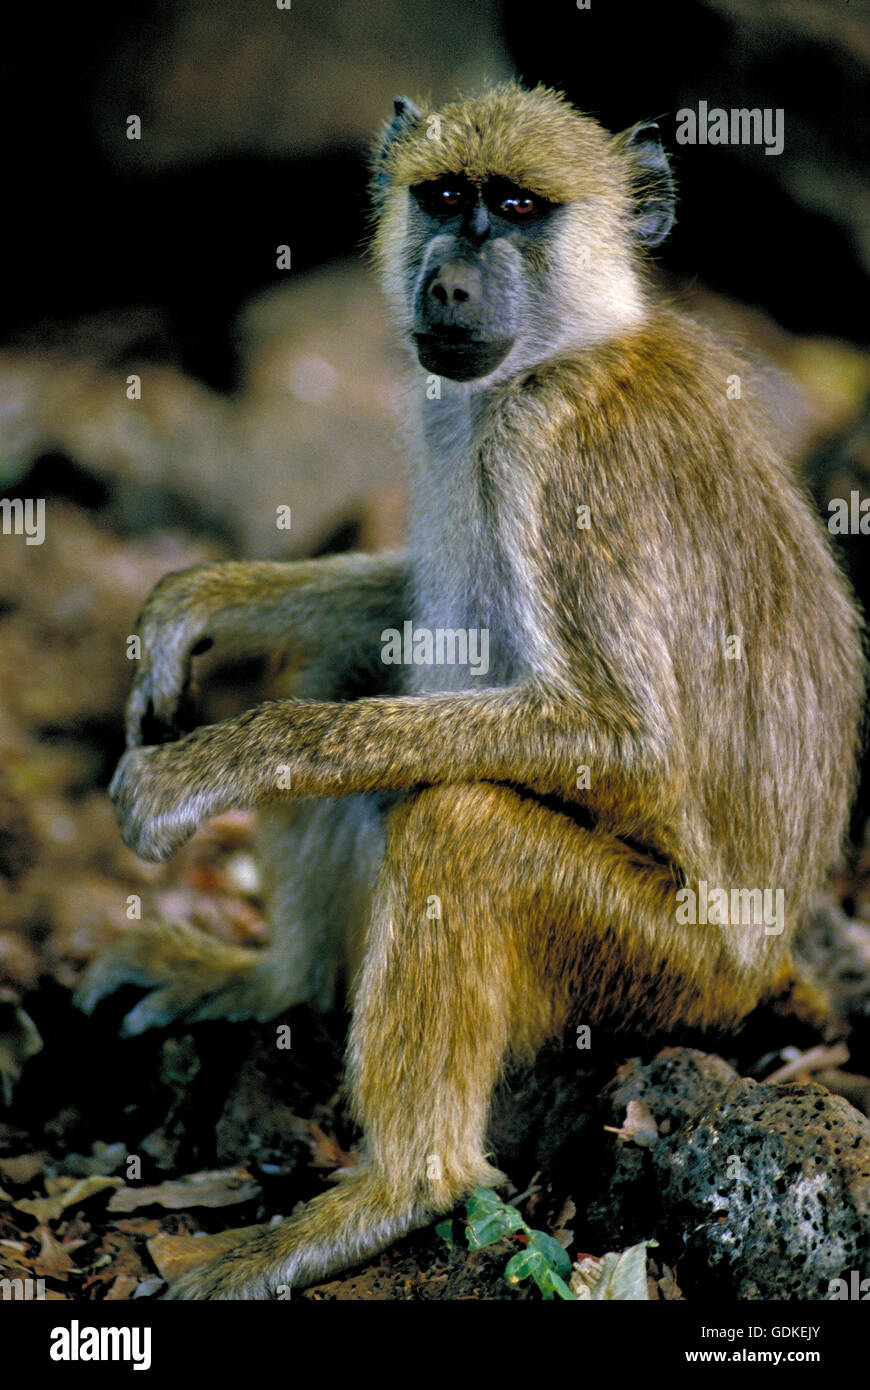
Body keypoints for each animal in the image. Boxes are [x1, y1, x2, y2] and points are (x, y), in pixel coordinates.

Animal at [75, 81, 864, 1299]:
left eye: (518, 207)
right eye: (445, 197)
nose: (448, 281)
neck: (554, 354)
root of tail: (767, 961)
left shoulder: (556, 455)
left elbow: (623, 740)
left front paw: (207, 765)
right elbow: (398, 621)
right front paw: (199, 603)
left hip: (667, 974)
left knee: (458, 826)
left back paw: (398, 1191)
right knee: (354, 678)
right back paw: (278, 986)